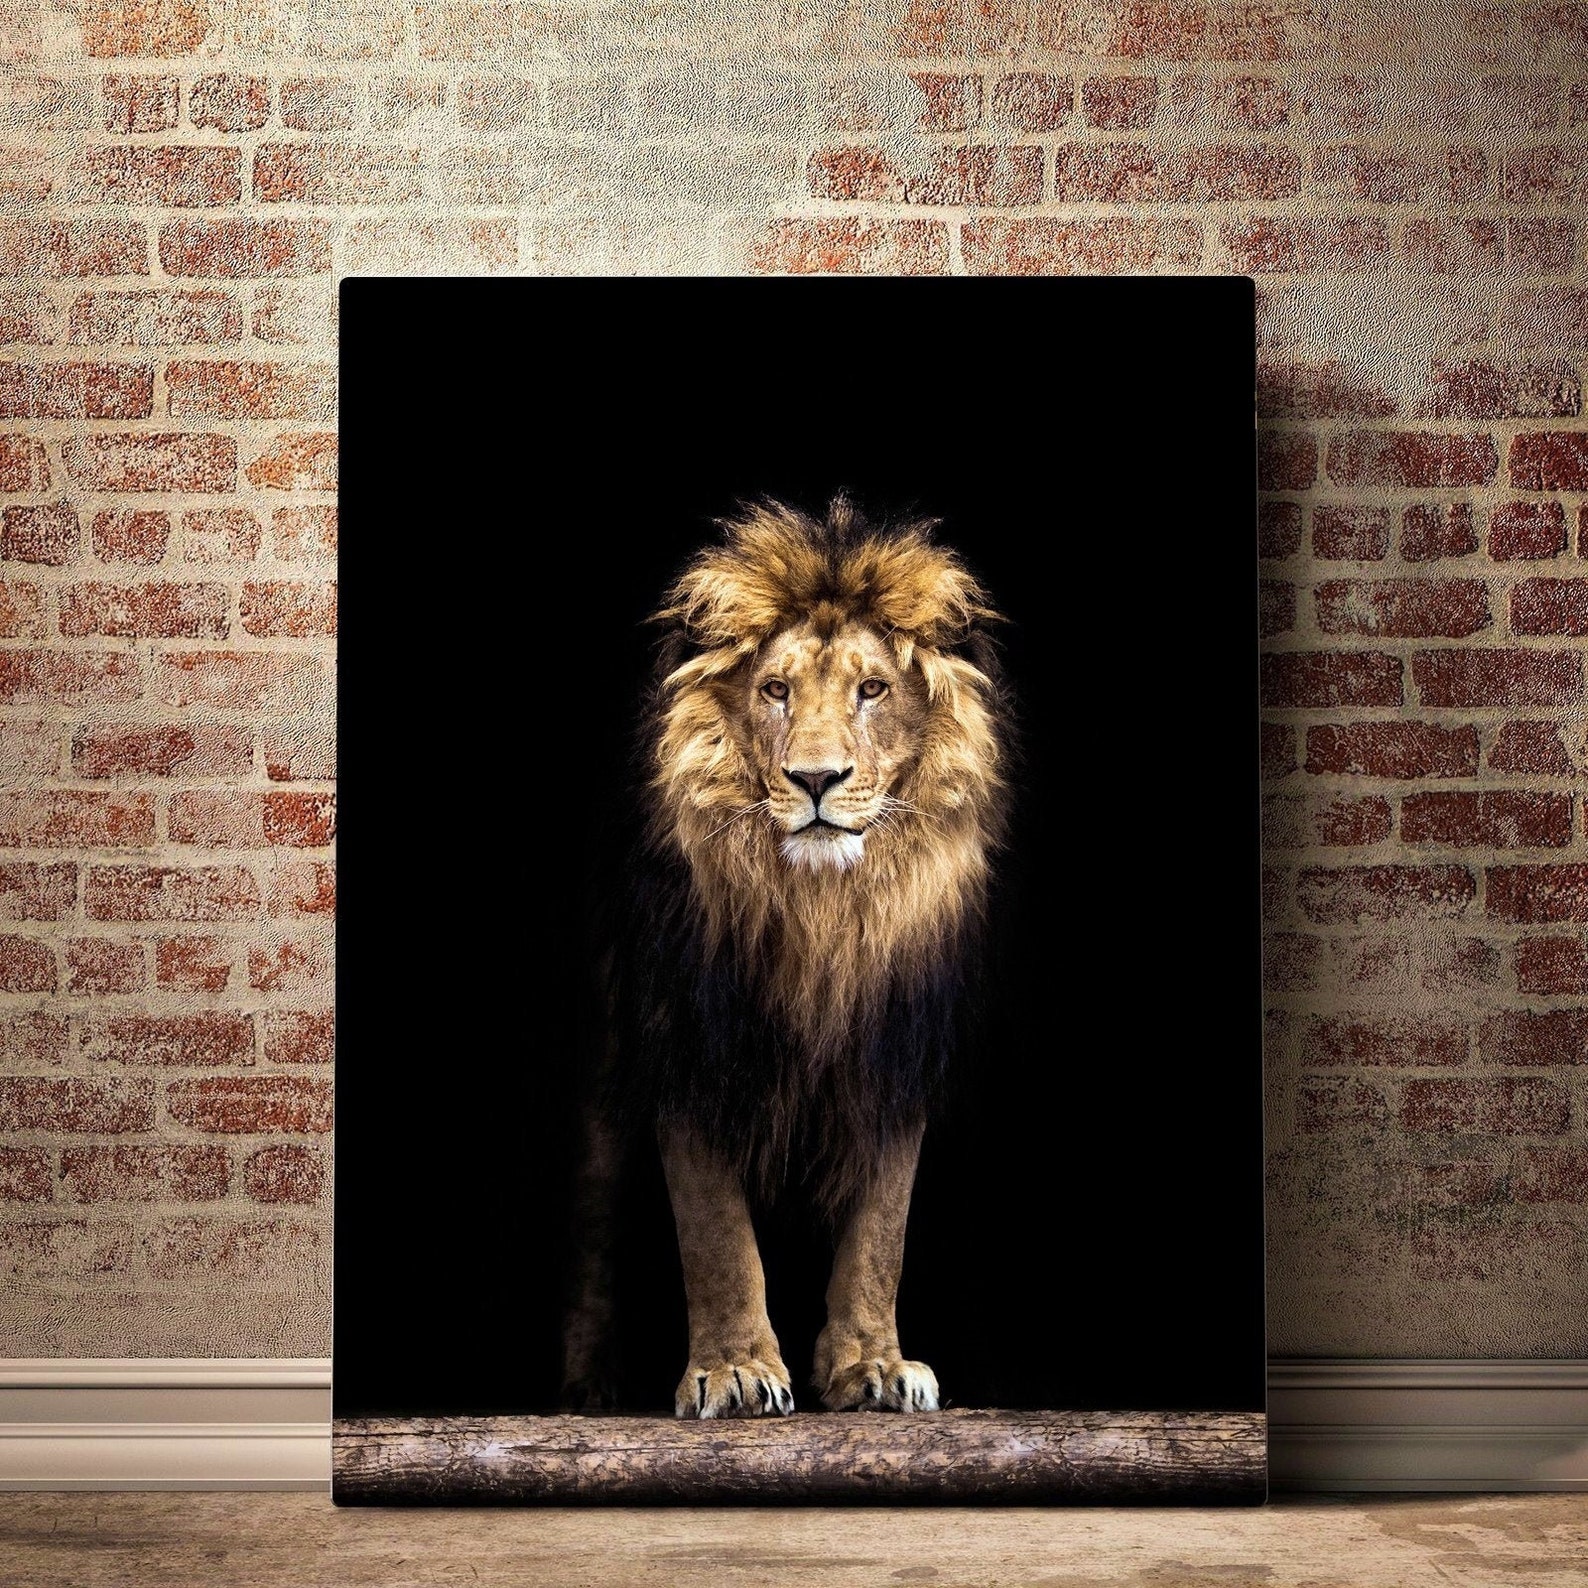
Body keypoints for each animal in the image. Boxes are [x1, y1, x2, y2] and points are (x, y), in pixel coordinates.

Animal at [563, 495, 1009, 1420]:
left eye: (872, 689)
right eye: (775, 691)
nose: (814, 779)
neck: (821, 916)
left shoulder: (893, 1049)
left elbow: (881, 1230)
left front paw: (874, 1366)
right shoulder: (689, 1037)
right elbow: (716, 1232)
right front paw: (734, 1370)